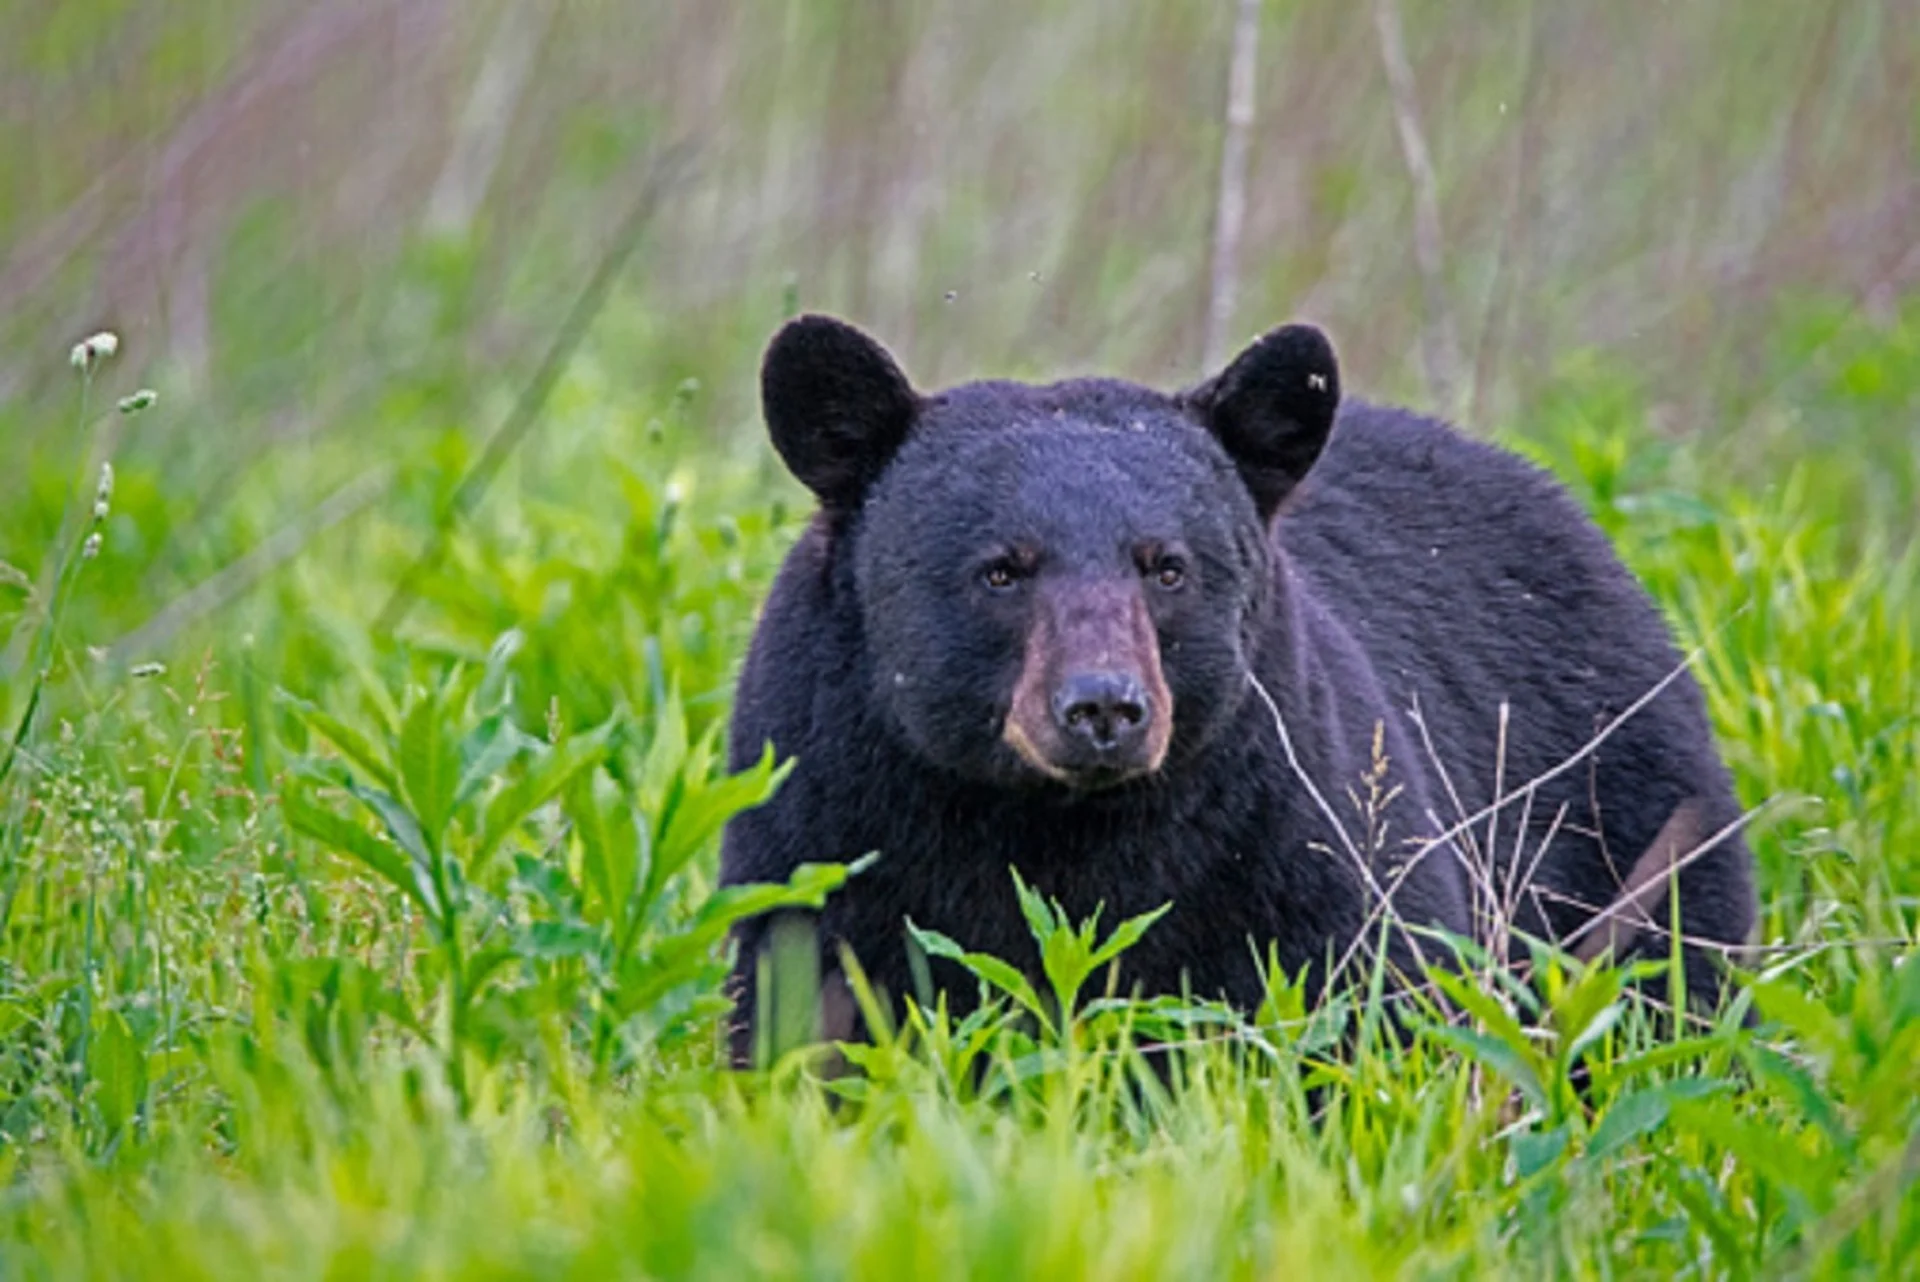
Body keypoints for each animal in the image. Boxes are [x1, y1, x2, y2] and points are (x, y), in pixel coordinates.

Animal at [718, 313, 1756, 1067]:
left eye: (1167, 566)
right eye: (1001, 570)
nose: (1103, 708)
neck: (1054, 825)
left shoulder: (1291, 830)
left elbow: (1371, 1005)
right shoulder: (826, 817)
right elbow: (808, 1010)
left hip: (1625, 832)